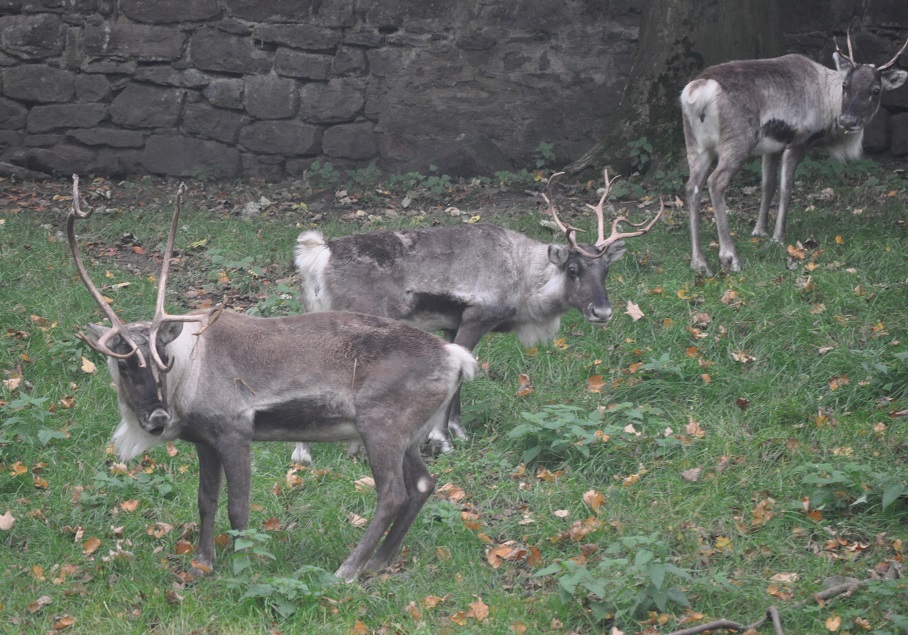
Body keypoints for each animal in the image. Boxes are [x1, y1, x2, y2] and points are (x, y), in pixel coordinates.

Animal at [66, 175, 477, 583]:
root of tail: (455, 357)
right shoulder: (204, 441)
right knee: (422, 484)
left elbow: (238, 507)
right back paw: (378, 563)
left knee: (393, 494)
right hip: (409, 434)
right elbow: (205, 501)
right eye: (124, 365)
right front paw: (203, 563)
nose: (157, 417)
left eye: (162, 358)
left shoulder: (235, 431)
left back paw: (347, 569)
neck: (188, 374)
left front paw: (243, 567)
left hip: (382, 427)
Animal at [290, 171, 662, 465]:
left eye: (605, 270)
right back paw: (309, 453)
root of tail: (318, 253)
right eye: (573, 268)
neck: (524, 276)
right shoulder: (476, 317)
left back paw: (304, 453)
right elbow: (458, 376)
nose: (602, 312)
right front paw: (442, 440)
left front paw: (458, 431)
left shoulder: (451, 325)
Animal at [681, 31, 908, 275]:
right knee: (716, 182)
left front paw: (760, 230)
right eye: (845, 85)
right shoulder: (798, 142)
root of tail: (698, 90)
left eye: (875, 90)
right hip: (737, 142)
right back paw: (730, 257)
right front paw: (778, 237)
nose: (847, 120)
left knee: (692, 187)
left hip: (697, 146)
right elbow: (786, 189)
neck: (826, 100)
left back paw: (699, 262)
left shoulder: (771, 148)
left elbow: (767, 186)